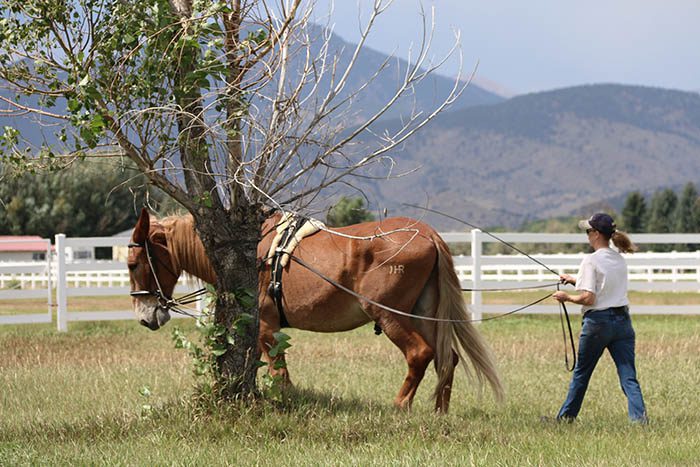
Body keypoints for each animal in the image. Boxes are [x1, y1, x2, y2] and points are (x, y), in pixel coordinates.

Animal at [127, 208, 503, 412]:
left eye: (132, 264)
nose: (145, 317)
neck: (250, 254)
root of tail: (426, 233)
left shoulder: (267, 328)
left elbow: (280, 374)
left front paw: (285, 403)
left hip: (391, 316)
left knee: (420, 354)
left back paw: (400, 405)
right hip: (423, 314)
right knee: (447, 357)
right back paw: (439, 410)